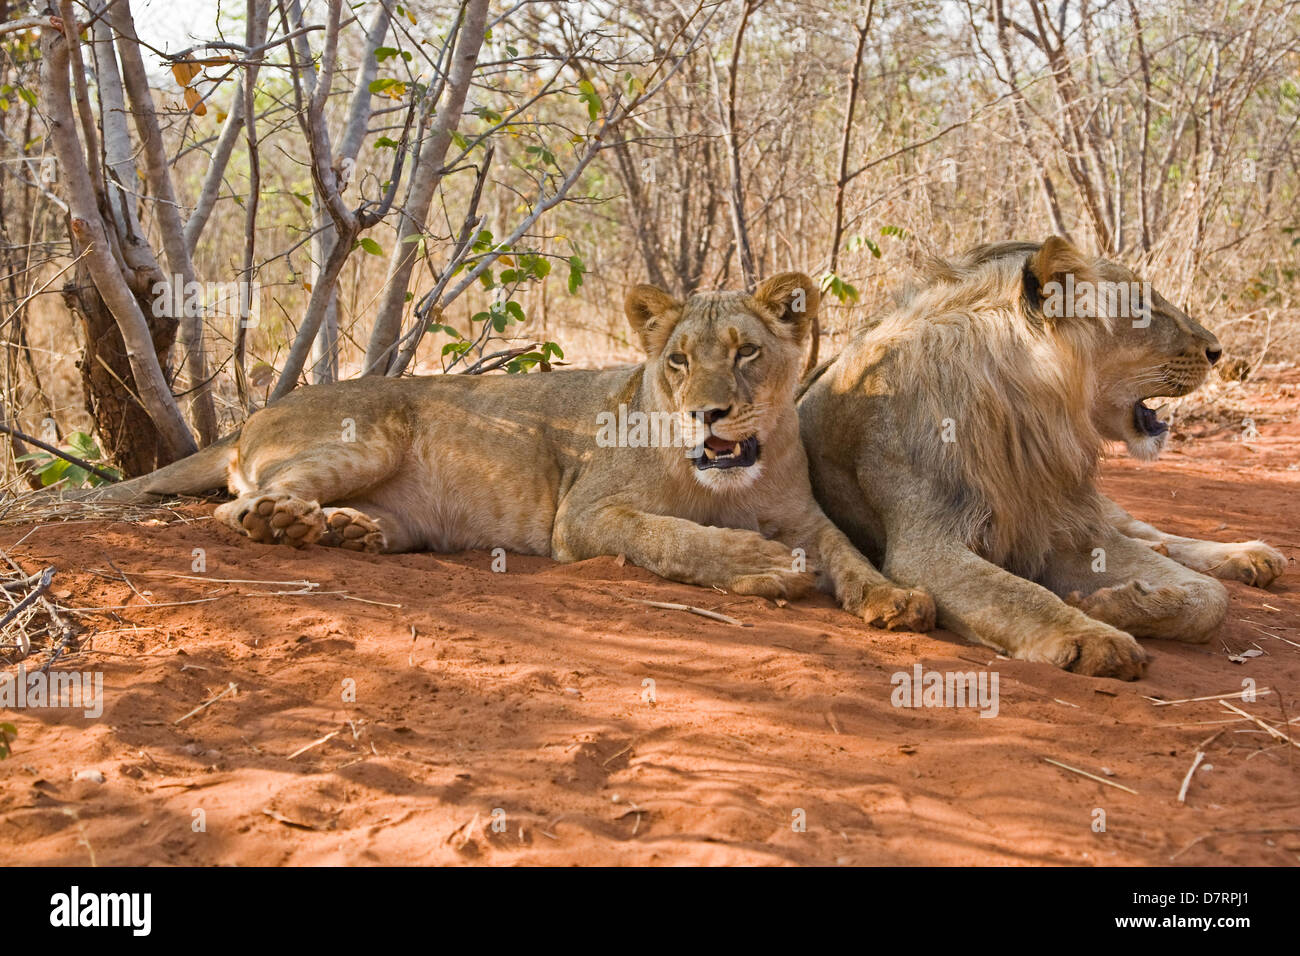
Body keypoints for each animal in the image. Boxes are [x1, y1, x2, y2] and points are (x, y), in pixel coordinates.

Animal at [96, 273, 935, 631]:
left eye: (748, 353)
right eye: (677, 361)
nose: (707, 413)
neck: (731, 482)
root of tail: (255, 415)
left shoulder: (806, 518)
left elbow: (851, 556)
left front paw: (897, 600)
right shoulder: (584, 514)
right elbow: (671, 535)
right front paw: (759, 566)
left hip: (397, 509)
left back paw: (343, 531)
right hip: (368, 437)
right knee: (238, 507)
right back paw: (288, 525)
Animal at [798, 237, 1286, 679]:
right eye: (1142, 307)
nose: (1217, 351)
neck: (1027, 422)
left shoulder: (1067, 531)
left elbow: (1212, 597)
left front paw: (1113, 604)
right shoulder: (924, 549)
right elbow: (1021, 595)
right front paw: (1096, 636)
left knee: (1149, 531)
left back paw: (1251, 555)